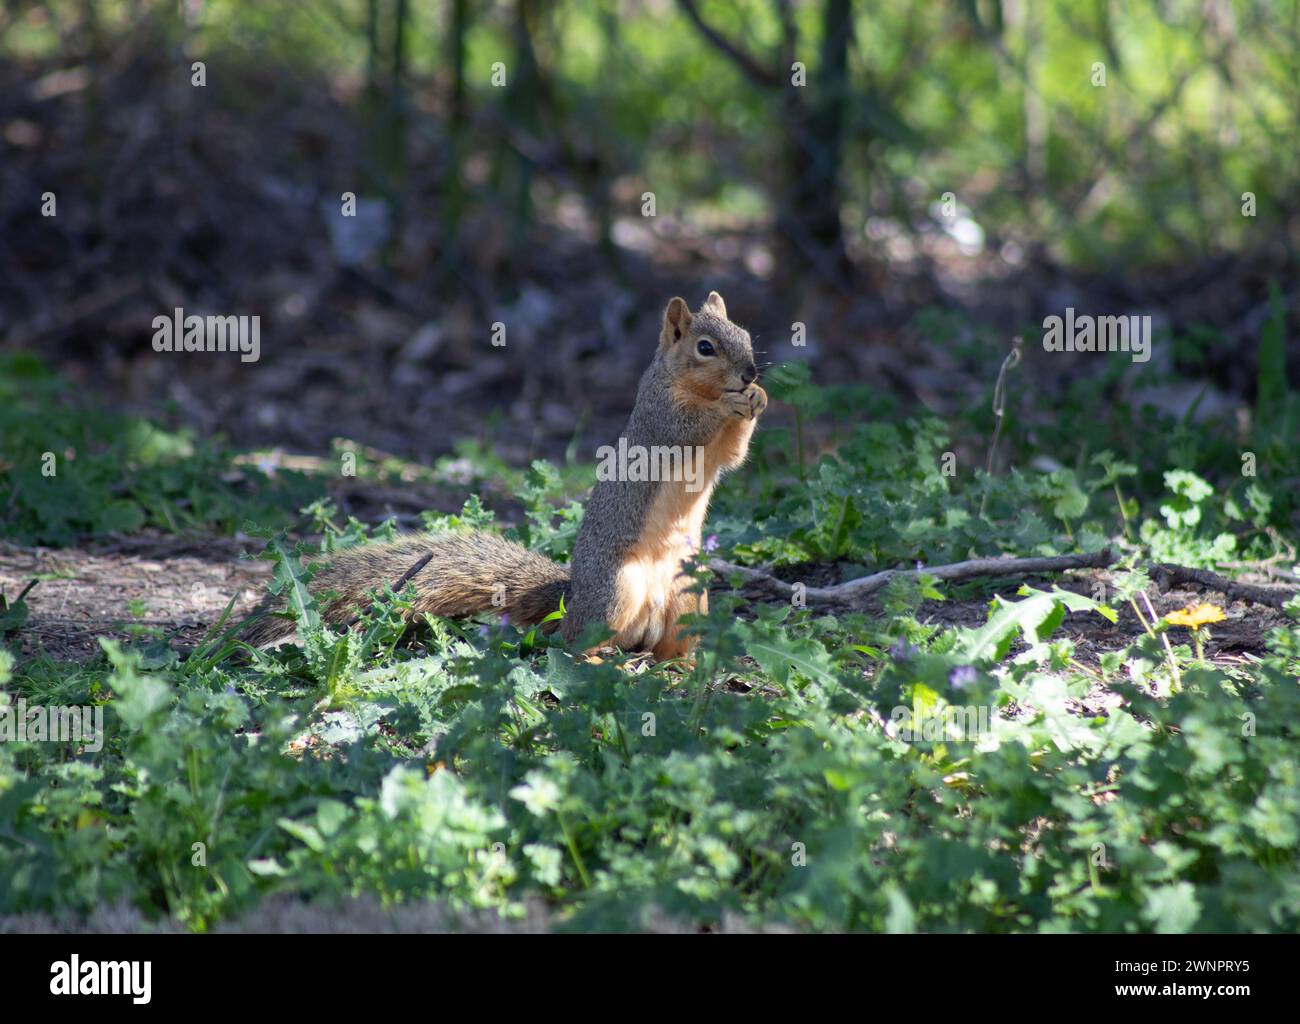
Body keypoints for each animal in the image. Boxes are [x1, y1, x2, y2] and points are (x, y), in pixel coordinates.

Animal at [242, 291, 767, 660]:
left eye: (746, 334)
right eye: (705, 347)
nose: (750, 372)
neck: (686, 383)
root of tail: (573, 597)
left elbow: (733, 455)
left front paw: (756, 399)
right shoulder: (660, 417)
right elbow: (689, 428)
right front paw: (734, 402)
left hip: (690, 598)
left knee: (665, 647)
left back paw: (684, 665)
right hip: (615, 592)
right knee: (575, 643)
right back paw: (600, 660)